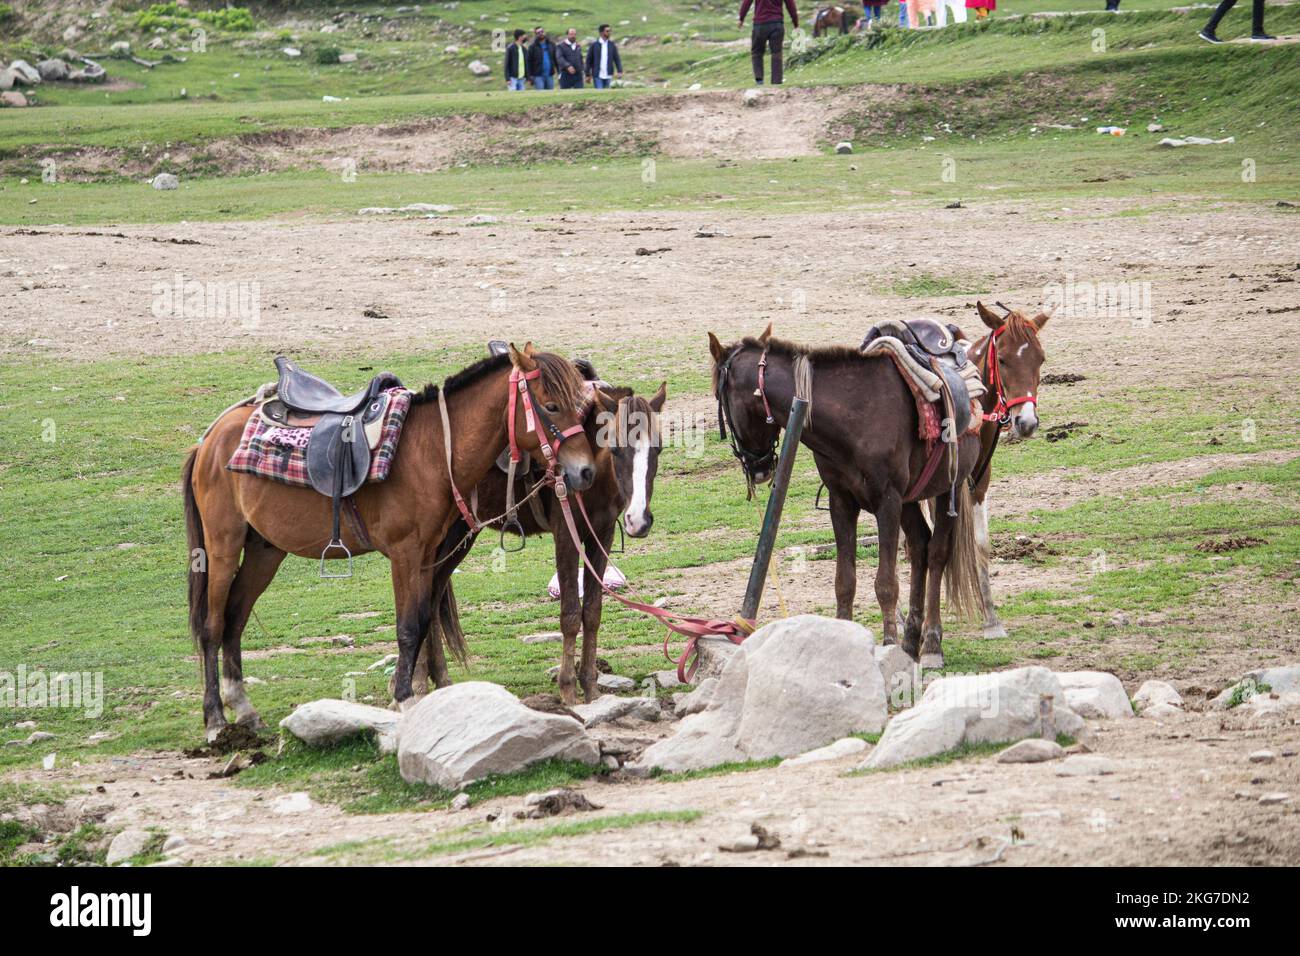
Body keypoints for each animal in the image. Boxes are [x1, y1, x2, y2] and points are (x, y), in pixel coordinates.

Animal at [182, 344, 596, 741]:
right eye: (552, 406)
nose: (585, 471)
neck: (432, 450)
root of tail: (210, 439)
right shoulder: (405, 553)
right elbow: (408, 628)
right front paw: (405, 700)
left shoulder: (428, 555)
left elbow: (424, 621)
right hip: (222, 545)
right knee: (213, 625)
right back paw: (215, 719)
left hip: (264, 550)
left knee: (235, 618)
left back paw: (245, 711)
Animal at [413, 365, 668, 704]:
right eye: (615, 448)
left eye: (658, 448)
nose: (638, 520)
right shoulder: (566, 534)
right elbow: (570, 613)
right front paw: (569, 690)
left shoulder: (601, 535)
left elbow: (593, 611)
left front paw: (591, 687)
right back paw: (417, 683)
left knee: (432, 596)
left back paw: (441, 680)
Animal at [708, 325, 983, 667]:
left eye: (719, 397)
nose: (757, 468)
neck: (853, 415)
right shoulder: (841, 502)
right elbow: (845, 581)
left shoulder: (887, 502)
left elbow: (886, 584)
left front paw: (888, 642)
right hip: (910, 499)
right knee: (920, 548)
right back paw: (910, 643)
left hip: (948, 490)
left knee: (936, 554)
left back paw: (931, 644)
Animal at [963, 302, 1053, 638]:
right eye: (1001, 359)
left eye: (1041, 359)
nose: (1026, 422)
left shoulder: (980, 481)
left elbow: (981, 544)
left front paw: (991, 619)